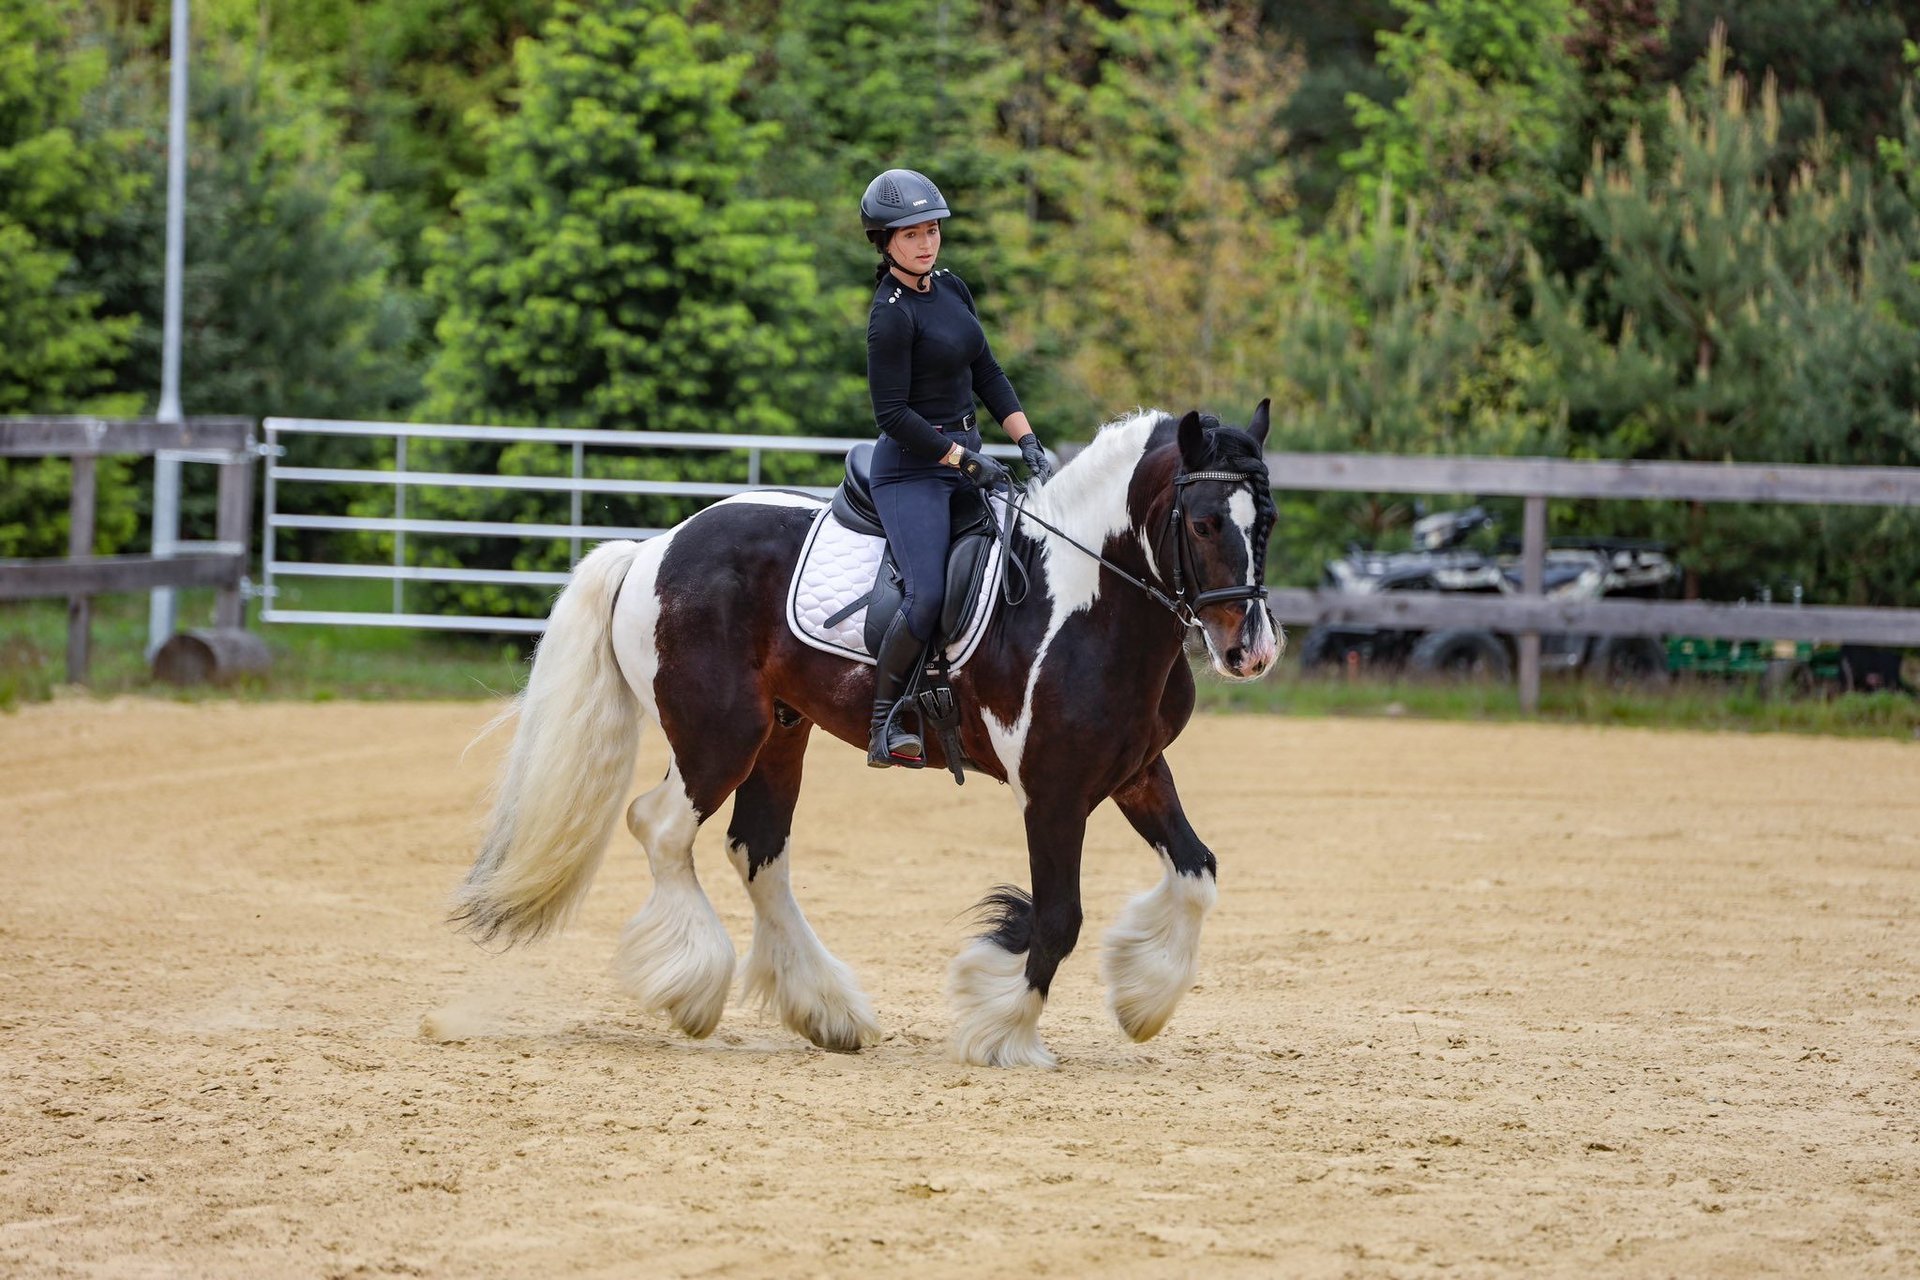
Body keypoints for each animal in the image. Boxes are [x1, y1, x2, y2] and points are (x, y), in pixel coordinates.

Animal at [450, 402, 1283, 1067]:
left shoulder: (1134, 770)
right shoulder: (1051, 790)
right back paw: (694, 988)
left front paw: (1143, 999)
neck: (1086, 604)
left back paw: (827, 1011)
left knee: (758, 853)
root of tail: (654, 548)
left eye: (1266, 522)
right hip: (720, 736)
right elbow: (1056, 917)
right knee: (661, 828)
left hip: (780, 737)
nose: (1250, 650)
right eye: (1204, 522)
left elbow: (1198, 871)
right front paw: (1002, 1030)